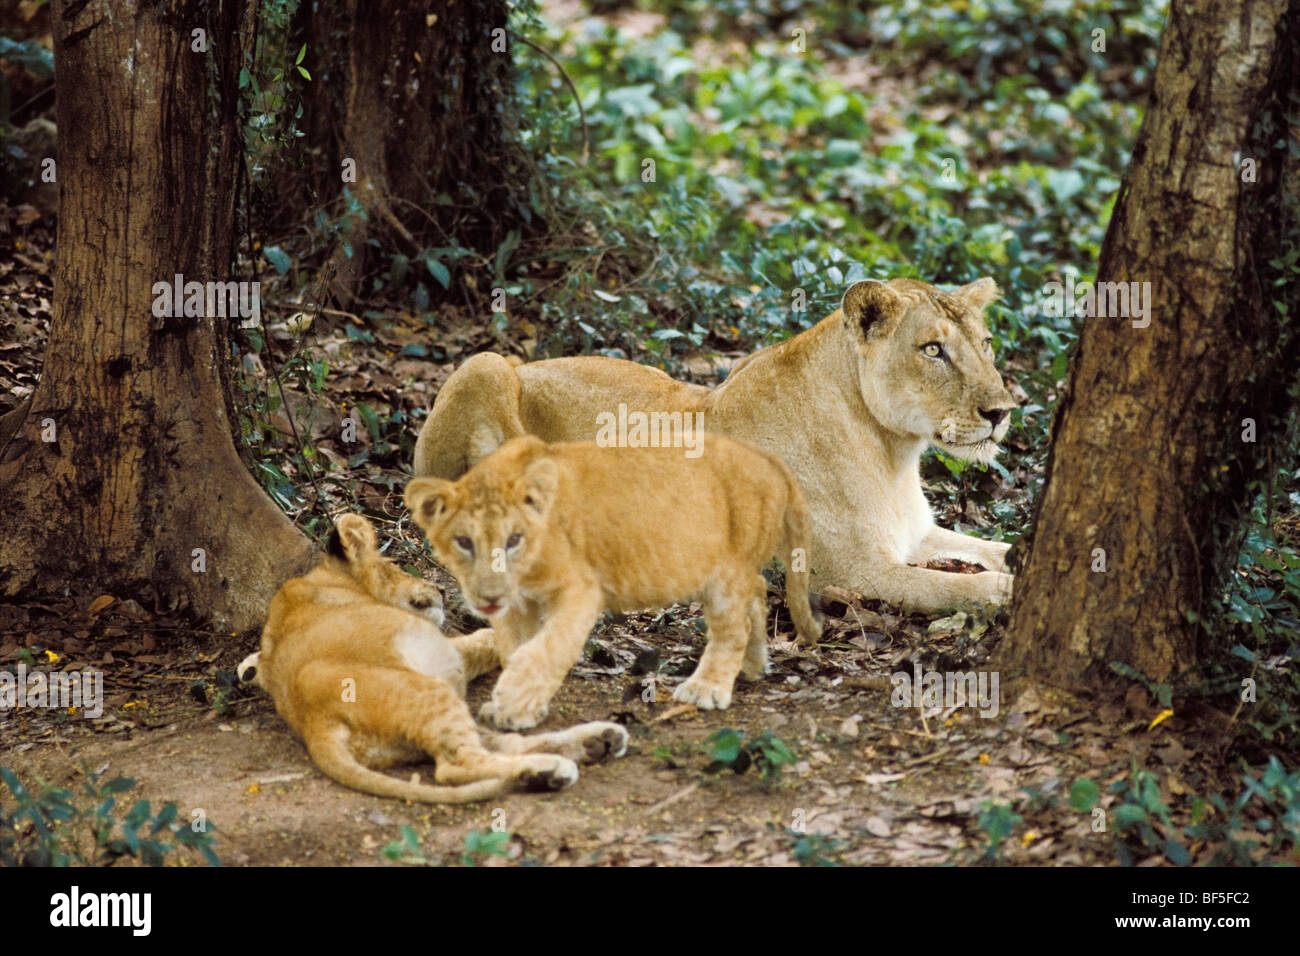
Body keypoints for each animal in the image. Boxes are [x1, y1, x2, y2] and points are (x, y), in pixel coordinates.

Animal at [236, 513, 629, 803]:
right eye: (396, 563)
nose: (440, 587)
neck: (327, 584)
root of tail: (314, 724)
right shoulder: (448, 650)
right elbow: (489, 640)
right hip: (426, 690)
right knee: (454, 767)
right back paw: (547, 771)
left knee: (496, 746)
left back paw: (595, 742)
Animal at [405, 434, 822, 731]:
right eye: (464, 542)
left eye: (513, 540)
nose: (489, 597)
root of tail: (765, 457)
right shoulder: (516, 604)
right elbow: (514, 648)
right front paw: (523, 705)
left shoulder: (581, 588)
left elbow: (546, 648)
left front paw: (514, 703)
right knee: (759, 590)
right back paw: (753, 664)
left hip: (727, 571)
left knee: (734, 626)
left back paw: (708, 687)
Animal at [413, 277, 1016, 613]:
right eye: (933, 349)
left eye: (987, 343)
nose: (1003, 411)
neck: (893, 451)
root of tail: (527, 363)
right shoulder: (848, 576)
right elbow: (955, 589)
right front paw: (1006, 593)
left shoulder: (916, 534)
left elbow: (989, 549)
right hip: (484, 364)